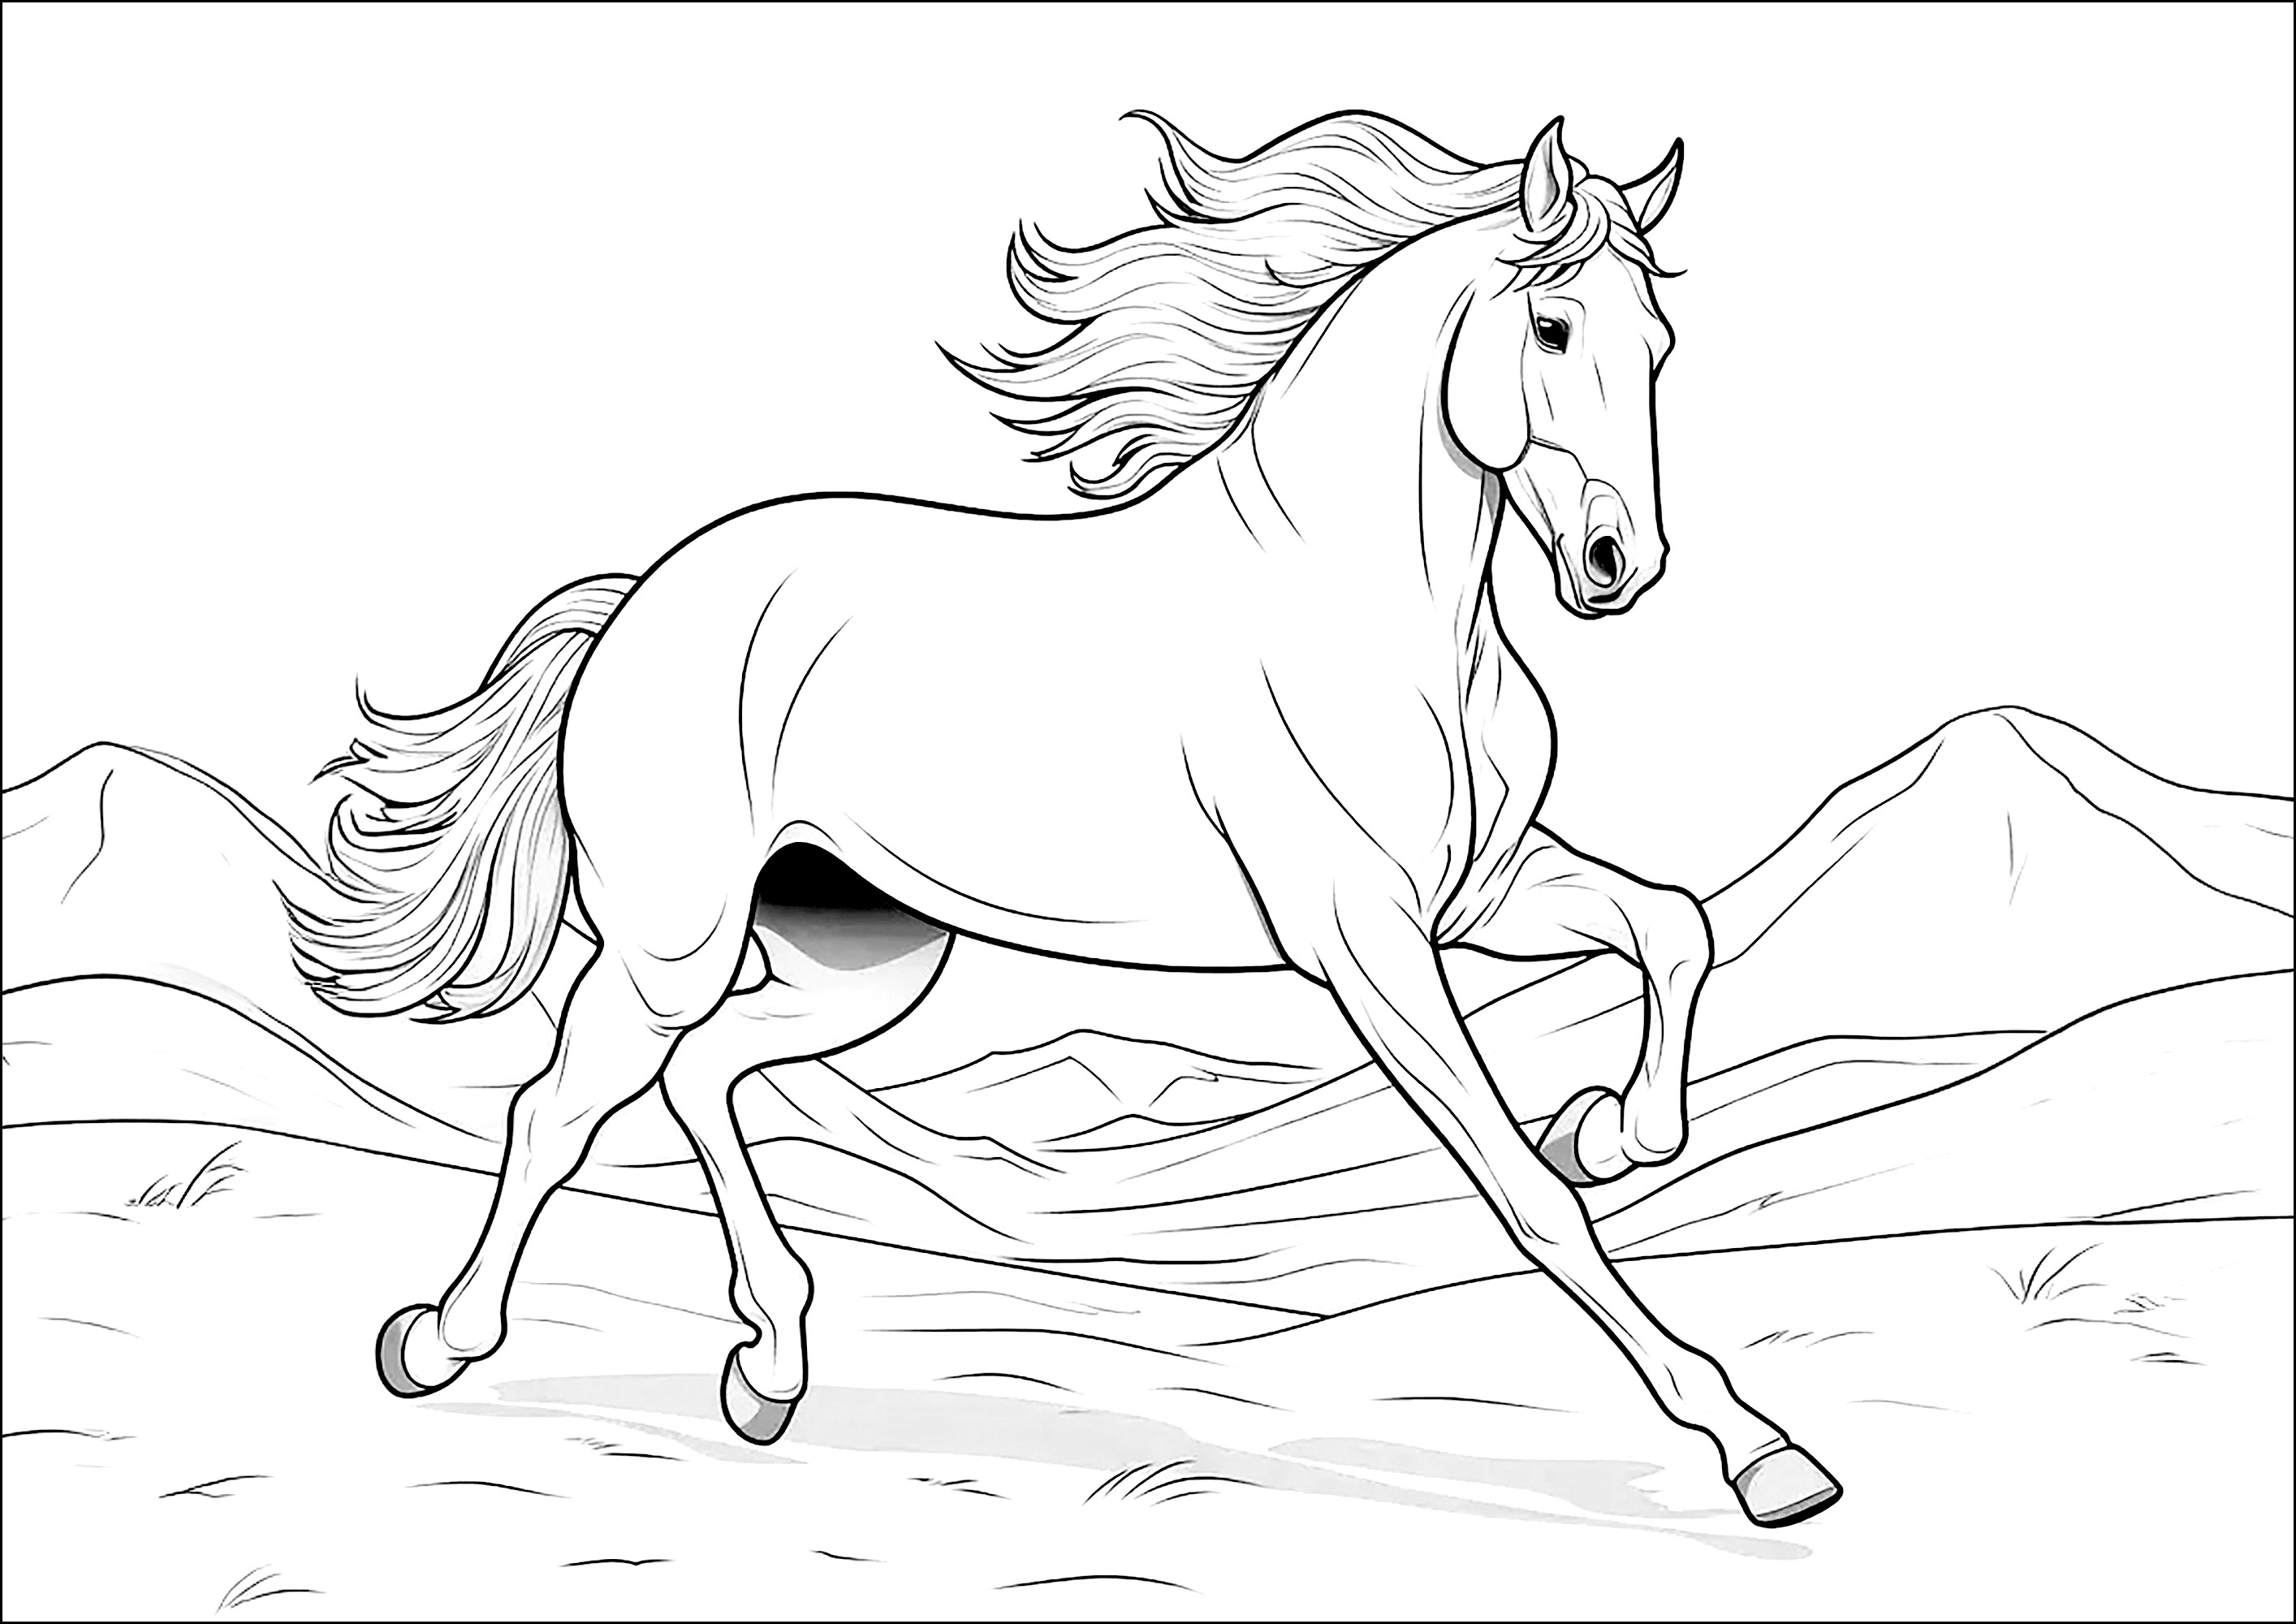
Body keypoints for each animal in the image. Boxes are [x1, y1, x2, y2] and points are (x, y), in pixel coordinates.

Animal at [290, 111, 1842, 1528]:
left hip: (863, 955)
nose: (1615, 565)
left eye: (1657, 346)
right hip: (674, 943)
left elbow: (1673, 929)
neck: (1379, 611)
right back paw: (435, 1343)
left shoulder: (1482, 893)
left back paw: (770, 1366)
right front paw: (1763, 1455)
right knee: (561, 1103)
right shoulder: (1366, 943)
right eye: (1552, 325)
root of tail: (645, 599)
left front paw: (1614, 1129)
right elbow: (1528, 1197)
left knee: (703, 1076)